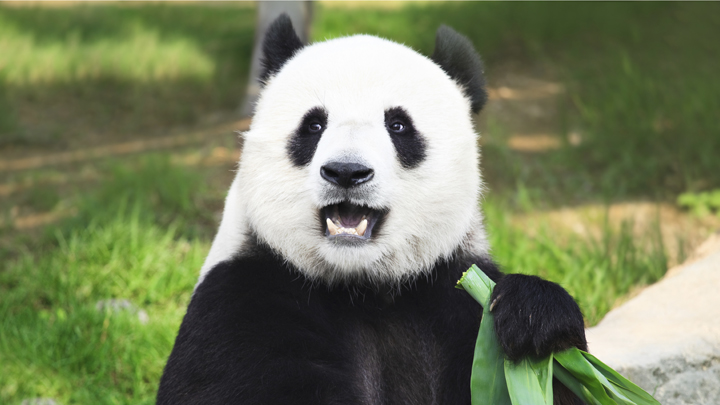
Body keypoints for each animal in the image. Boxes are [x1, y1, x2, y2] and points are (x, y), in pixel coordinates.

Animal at [158, 15, 587, 405]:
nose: (347, 172)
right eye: (313, 126)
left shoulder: (452, 295)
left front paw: (533, 315)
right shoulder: (244, 299)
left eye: (398, 126)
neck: (364, 287)